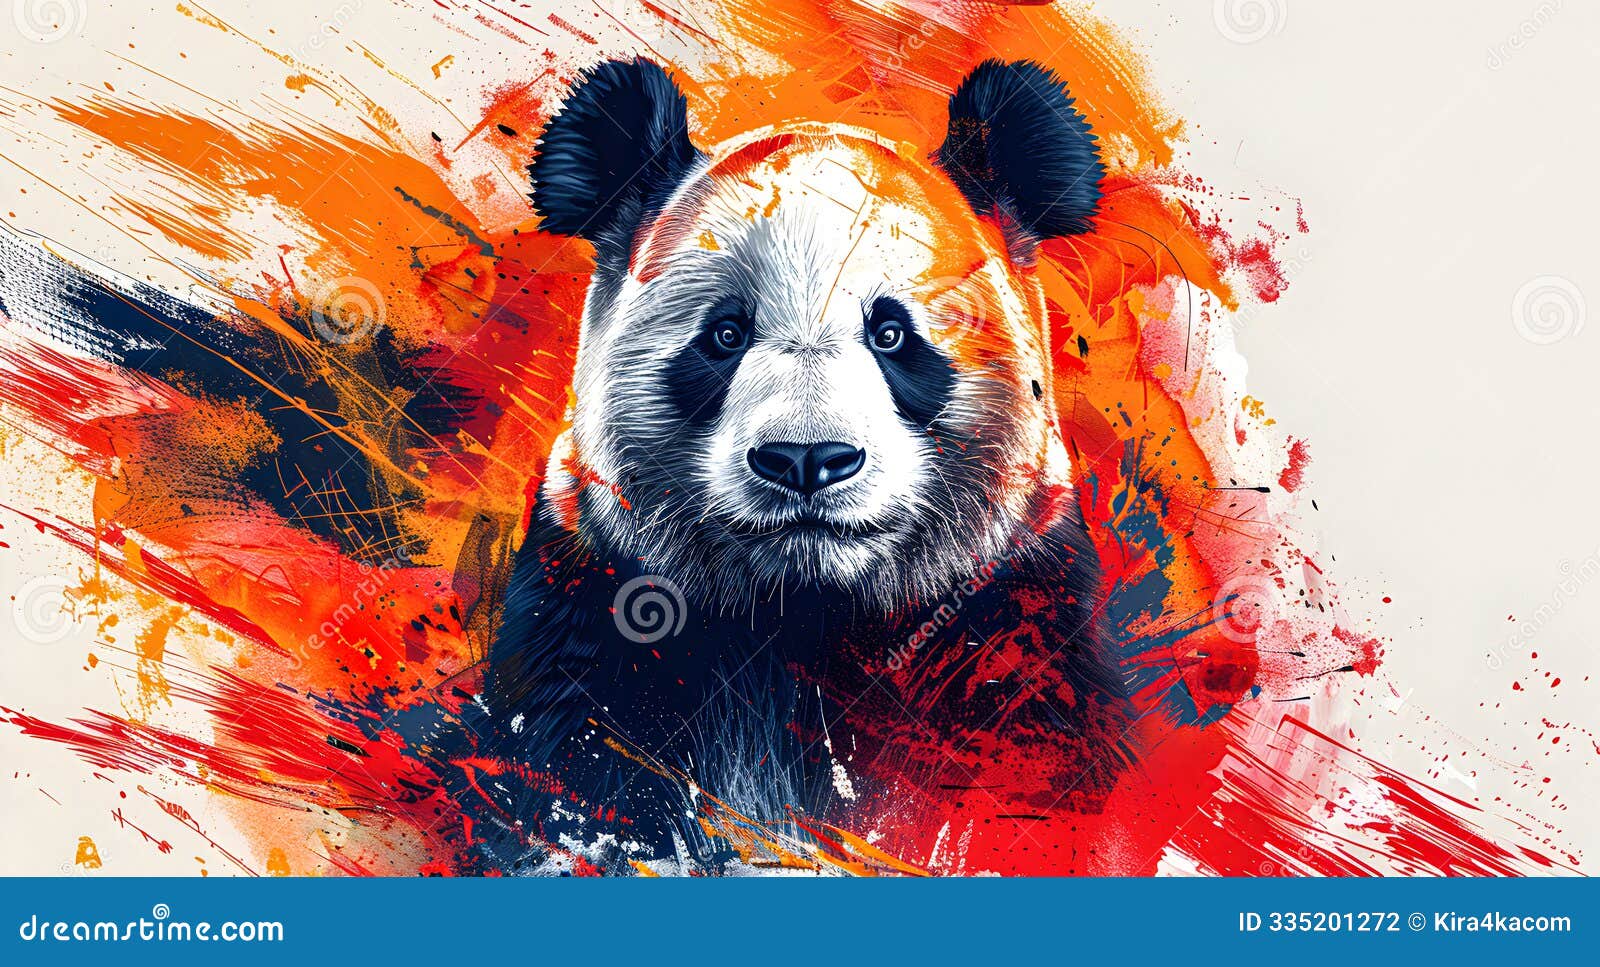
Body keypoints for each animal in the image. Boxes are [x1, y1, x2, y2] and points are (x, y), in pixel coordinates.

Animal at [472, 57, 1130, 871]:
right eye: (725, 334)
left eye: (890, 333)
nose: (807, 459)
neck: (805, 617)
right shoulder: (591, 618)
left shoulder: (1017, 627)